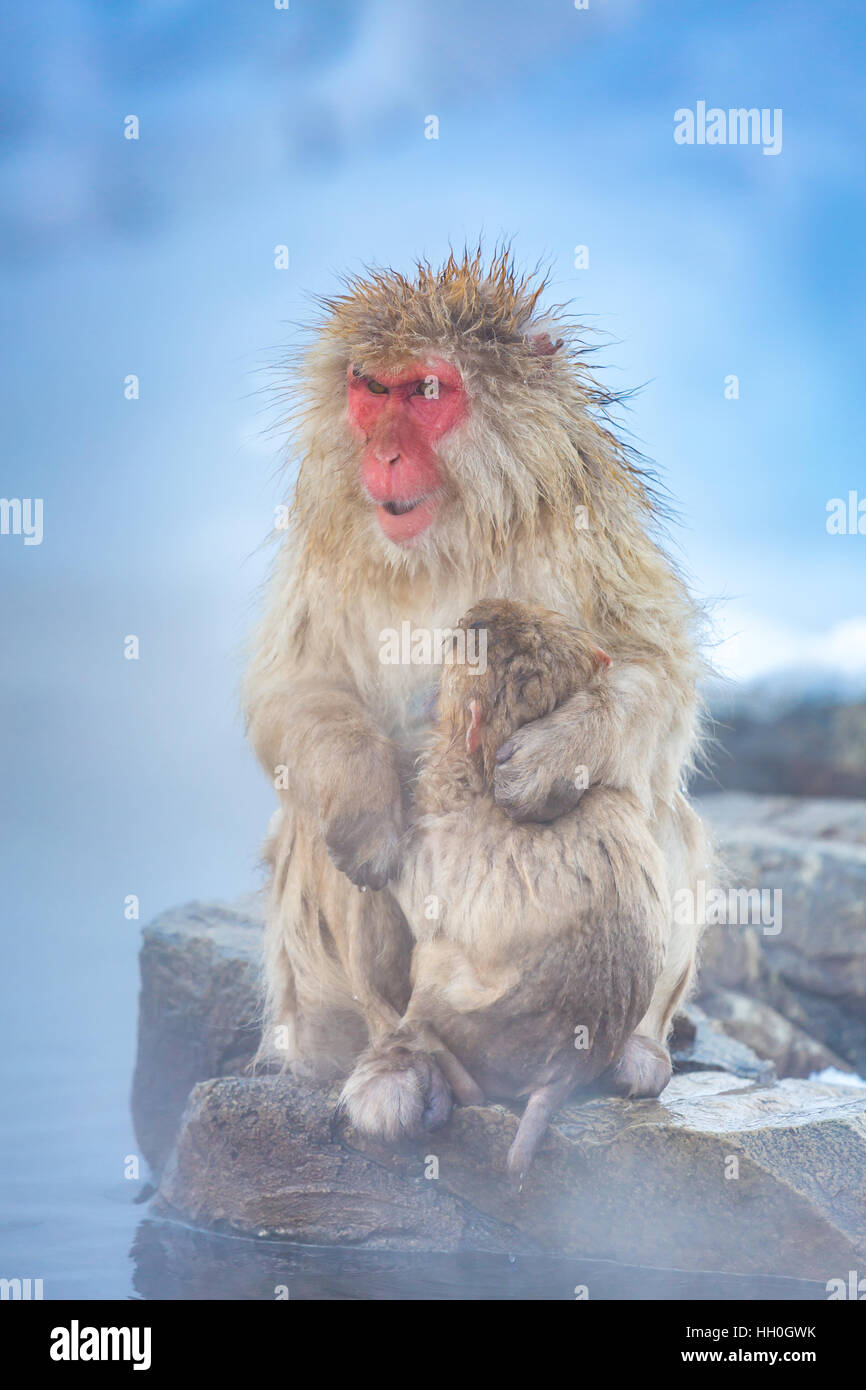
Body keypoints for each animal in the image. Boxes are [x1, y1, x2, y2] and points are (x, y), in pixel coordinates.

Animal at [243, 248, 710, 1106]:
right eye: (372, 389)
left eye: (427, 393)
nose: (383, 454)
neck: (448, 537)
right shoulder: (328, 539)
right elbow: (295, 686)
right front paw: (366, 799)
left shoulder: (583, 527)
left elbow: (656, 671)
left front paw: (556, 755)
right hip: (318, 1007)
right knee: (323, 831)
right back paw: (400, 1060)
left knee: (649, 799)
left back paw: (633, 1048)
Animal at [341, 599, 672, 1179]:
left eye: (462, 639)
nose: (469, 613)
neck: (479, 770)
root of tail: (569, 1064)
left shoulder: (436, 818)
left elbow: (410, 889)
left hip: (465, 1015)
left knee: (434, 965)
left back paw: (432, 1064)